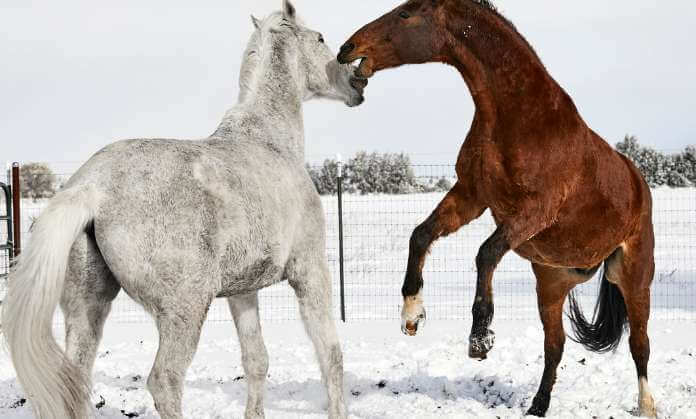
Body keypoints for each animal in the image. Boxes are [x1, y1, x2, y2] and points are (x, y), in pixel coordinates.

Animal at [2, 2, 366, 418]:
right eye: (320, 39)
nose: (357, 83)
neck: (269, 142)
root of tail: (91, 187)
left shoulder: (243, 290)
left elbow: (257, 360)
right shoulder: (309, 272)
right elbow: (330, 353)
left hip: (88, 307)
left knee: (75, 380)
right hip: (185, 310)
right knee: (164, 381)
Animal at [338, 1, 656, 417]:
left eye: (405, 14)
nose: (347, 48)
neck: (517, 117)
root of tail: (638, 183)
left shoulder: (535, 210)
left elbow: (485, 253)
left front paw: (480, 338)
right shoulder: (471, 195)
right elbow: (421, 235)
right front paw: (411, 314)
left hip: (633, 278)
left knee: (639, 347)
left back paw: (647, 405)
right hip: (551, 284)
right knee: (555, 347)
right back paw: (537, 406)